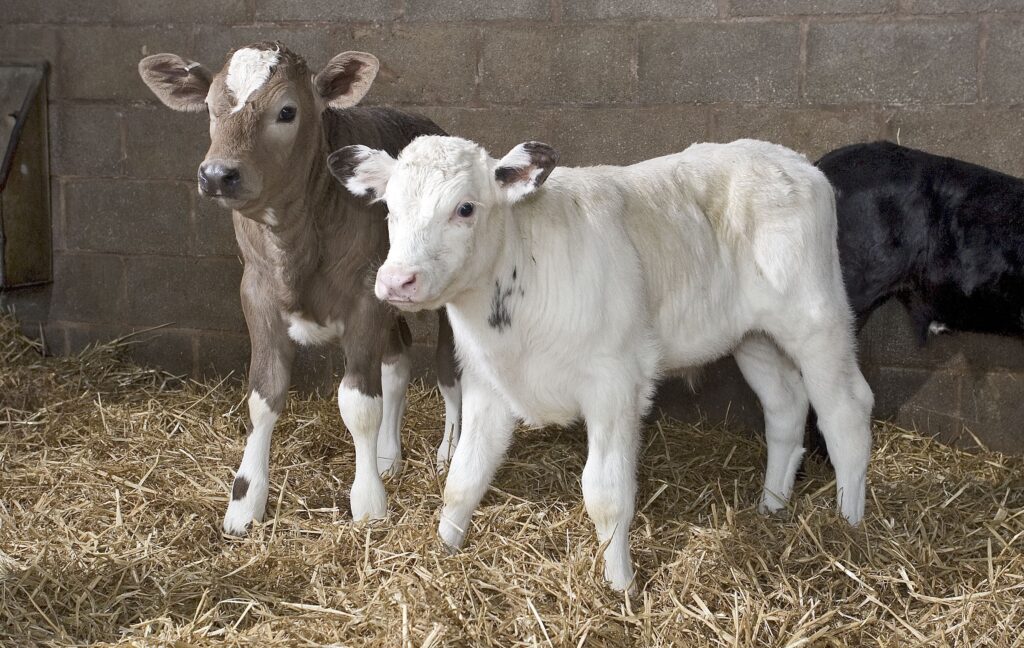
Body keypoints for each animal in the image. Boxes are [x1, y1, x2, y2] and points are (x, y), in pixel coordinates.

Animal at [138, 42, 462, 535]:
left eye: (287, 111)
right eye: (210, 108)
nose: (217, 175)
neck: (296, 244)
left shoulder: (364, 297)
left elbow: (358, 403)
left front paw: (369, 503)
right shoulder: (256, 293)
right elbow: (263, 396)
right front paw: (244, 504)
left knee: (450, 373)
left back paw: (448, 455)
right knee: (397, 360)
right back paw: (389, 456)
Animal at [329, 135, 874, 592]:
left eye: (464, 208)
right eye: (390, 208)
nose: (397, 281)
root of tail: (794, 161)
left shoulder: (616, 384)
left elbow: (606, 493)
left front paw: (621, 585)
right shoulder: (487, 383)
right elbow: (464, 477)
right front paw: (443, 550)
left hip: (816, 319)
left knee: (846, 411)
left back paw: (850, 525)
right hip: (753, 336)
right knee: (785, 407)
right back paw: (772, 506)